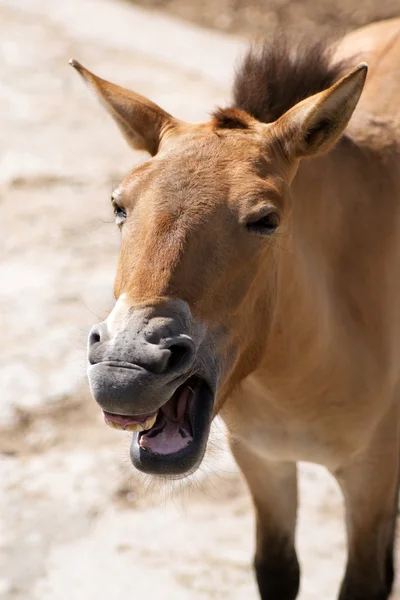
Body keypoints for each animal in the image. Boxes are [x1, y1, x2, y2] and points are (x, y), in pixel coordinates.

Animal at [70, 16, 400, 600]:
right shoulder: (264, 463)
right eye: (119, 206)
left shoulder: (372, 482)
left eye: (266, 219)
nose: (124, 369)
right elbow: (276, 568)